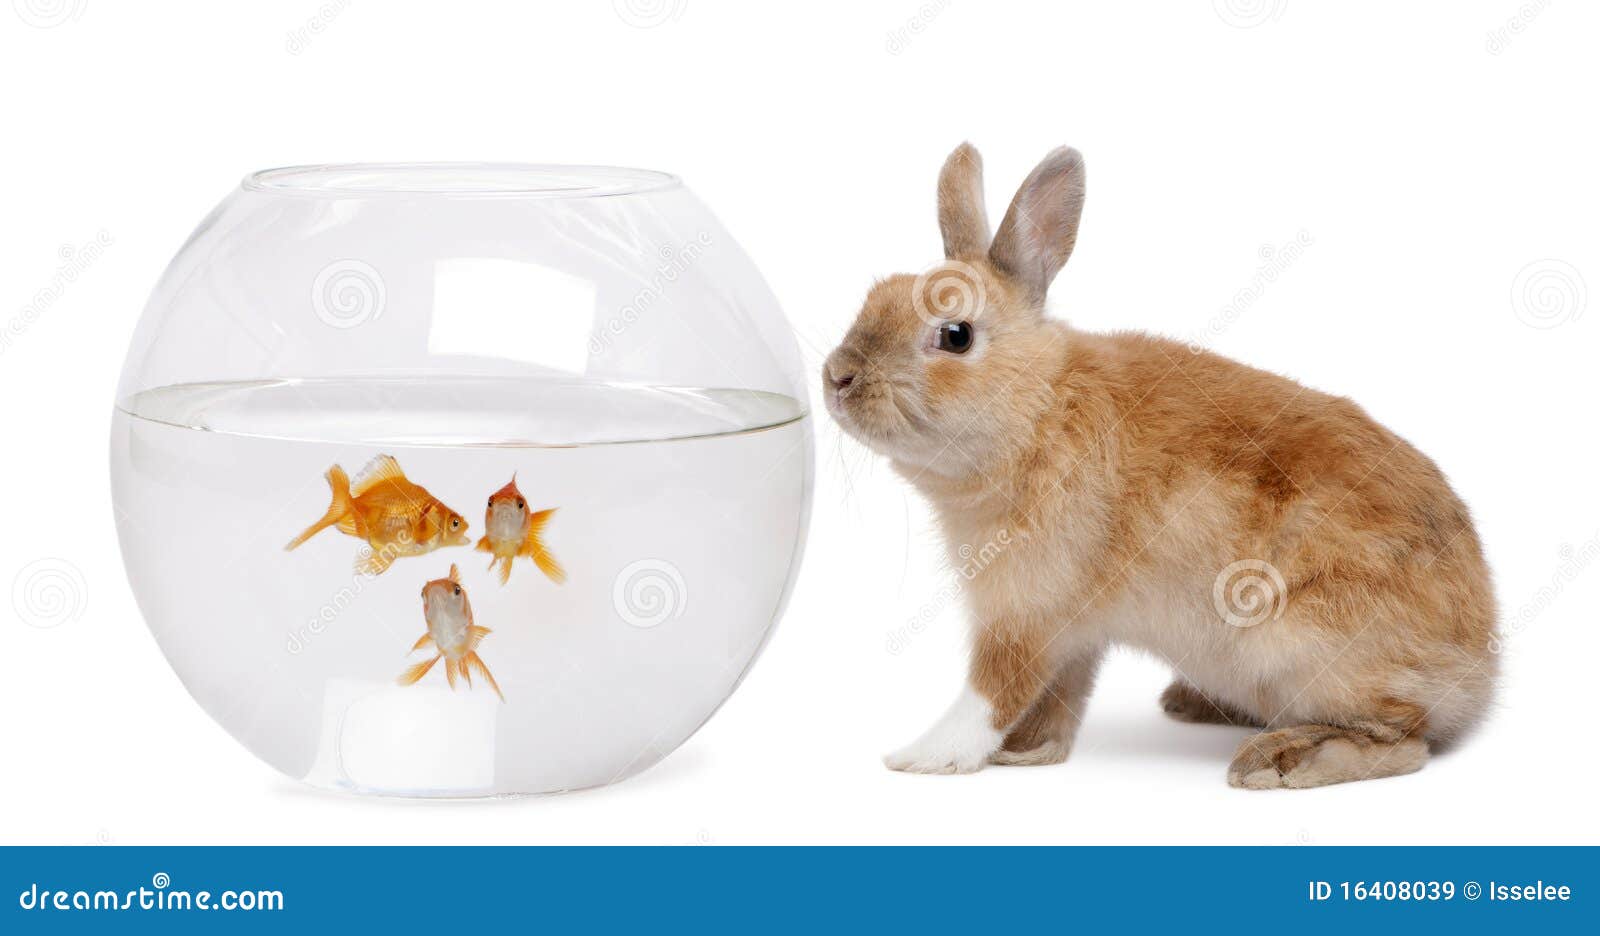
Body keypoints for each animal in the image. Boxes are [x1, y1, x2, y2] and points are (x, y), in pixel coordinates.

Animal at [823, 143, 1497, 788]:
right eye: (874, 297)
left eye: (956, 334)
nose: (837, 377)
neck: (1038, 412)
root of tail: (1477, 674)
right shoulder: (1072, 634)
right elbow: (1061, 694)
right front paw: (1029, 751)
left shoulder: (1026, 611)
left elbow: (993, 693)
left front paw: (924, 758)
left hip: (1302, 647)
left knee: (1403, 739)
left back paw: (1282, 761)